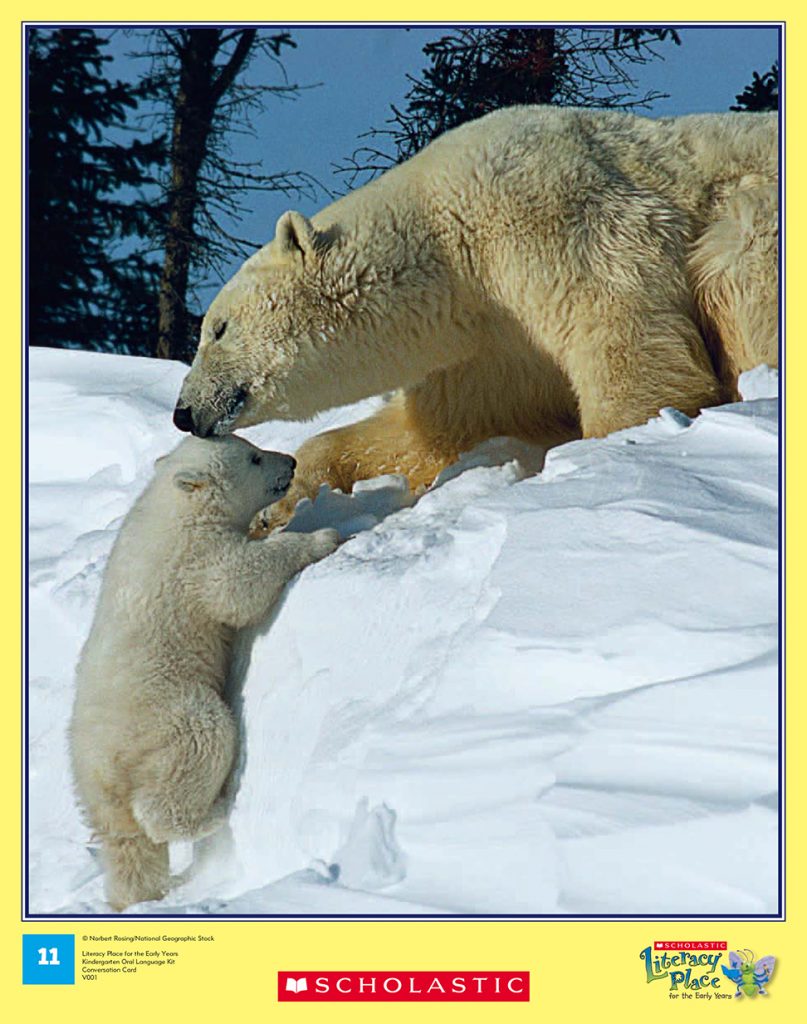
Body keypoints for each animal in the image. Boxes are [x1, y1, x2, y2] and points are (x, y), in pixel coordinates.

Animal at [69, 435, 339, 911]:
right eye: (254, 457)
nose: (290, 461)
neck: (175, 505)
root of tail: (101, 767)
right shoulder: (197, 558)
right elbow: (238, 583)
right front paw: (322, 536)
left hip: (92, 790)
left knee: (127, 845)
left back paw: (134, 894)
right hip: (167, 716)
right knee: (195, 750)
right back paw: (214, 811)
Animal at [172, 105, 778, 528]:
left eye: (217, 329)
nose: (184, 412)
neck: (451, 236)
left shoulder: (554, 218)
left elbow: (624, 333)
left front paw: (605, 453)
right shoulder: (489, 347)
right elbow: (441, 431)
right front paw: (280, 504)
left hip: (751, 218)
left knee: (736, 264)